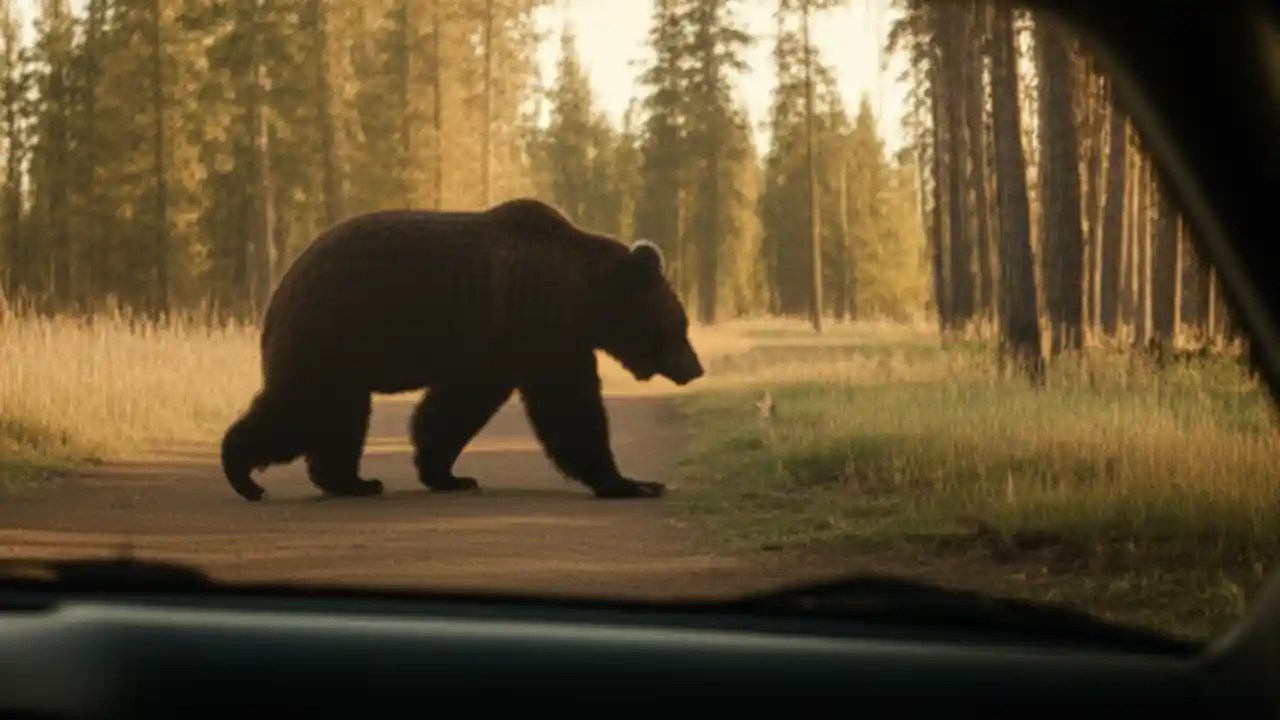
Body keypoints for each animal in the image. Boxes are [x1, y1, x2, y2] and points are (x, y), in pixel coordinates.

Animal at [220, 197, 705, 503]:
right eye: (680, 324)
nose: (695, 367)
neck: (584, 293)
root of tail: (282, 285)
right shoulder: (542, 327)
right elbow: (568, 406)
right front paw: (631, 482)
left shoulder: (495, 348)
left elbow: (454, 408)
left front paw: (449, 473)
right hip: (334, 329)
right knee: (304, 405)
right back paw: (243, 472)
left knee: (340, 416)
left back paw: (352, 480)